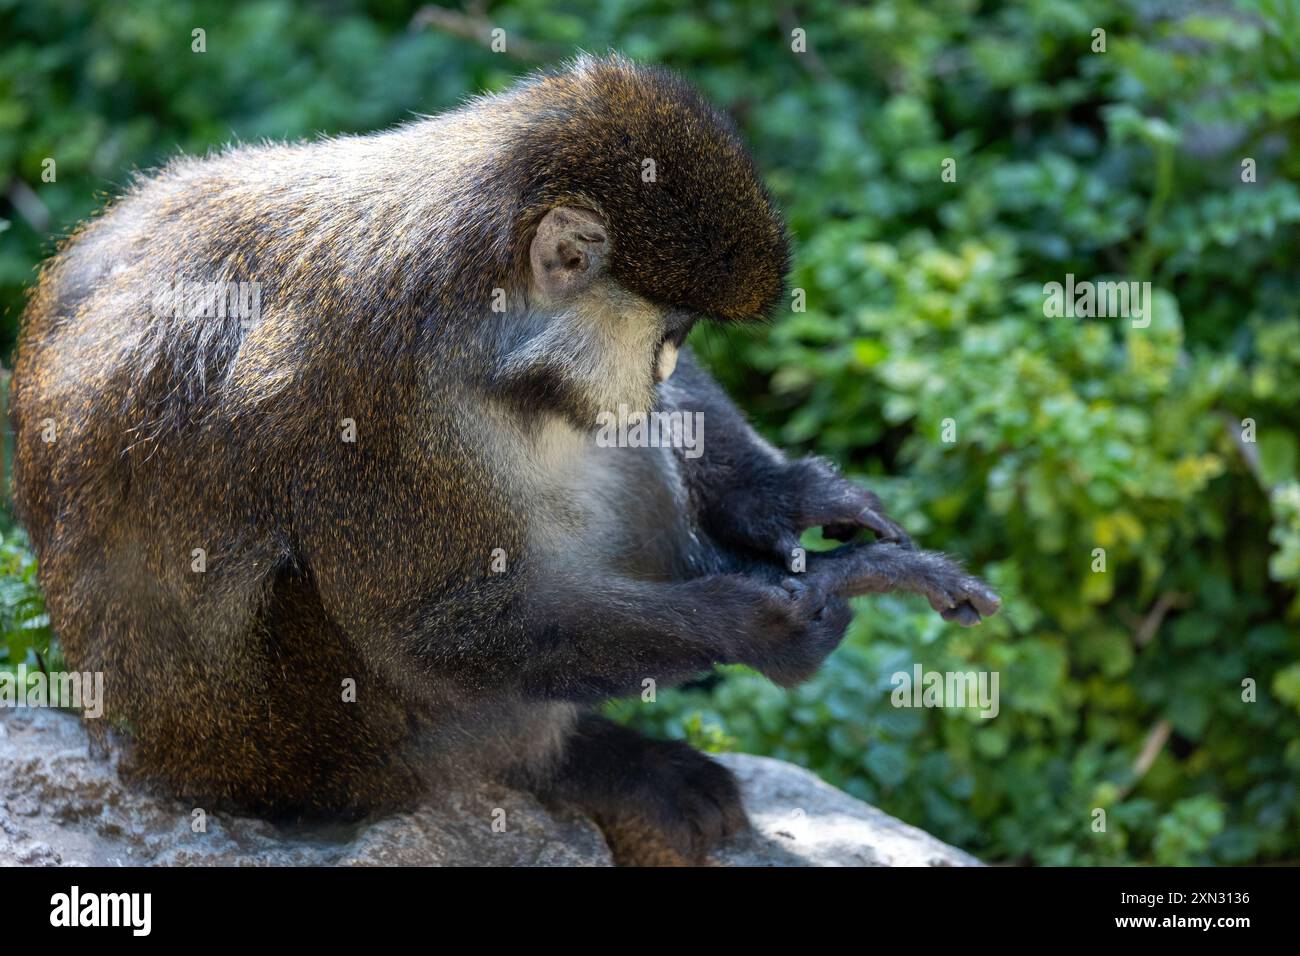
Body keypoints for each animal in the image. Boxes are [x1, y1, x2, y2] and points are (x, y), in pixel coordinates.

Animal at [8, 54, 999, 866]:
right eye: (672, 332)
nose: (662, 369)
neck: (476, 323)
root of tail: (146, 747)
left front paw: (785, 495)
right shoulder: (366, 388)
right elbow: (426, 629)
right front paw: (763, 624)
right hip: (338, 757)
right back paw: (586, 761)